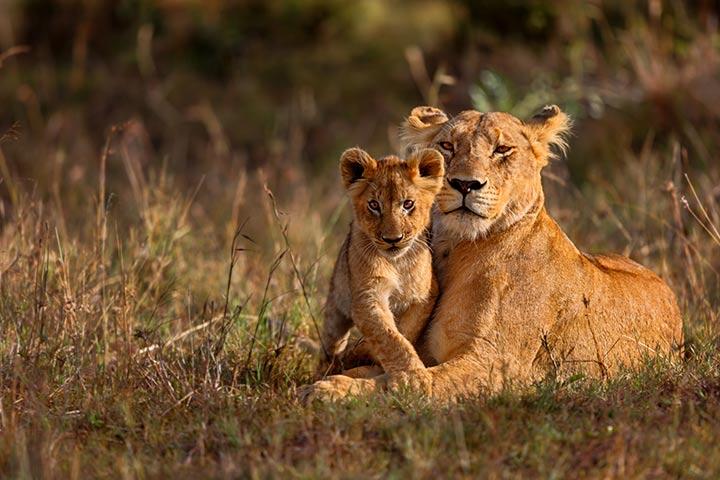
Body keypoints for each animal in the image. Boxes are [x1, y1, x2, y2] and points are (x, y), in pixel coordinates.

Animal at [316, 147, 444, 379]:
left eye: (408, 204)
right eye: (374, 205)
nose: (393, 239)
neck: (397, 263)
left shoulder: (425, 295)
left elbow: (405, 332)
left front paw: (367, 353)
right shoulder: (367, 296)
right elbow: (389, 337)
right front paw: (413, 376)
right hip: (335, 309)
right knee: (331, 344)